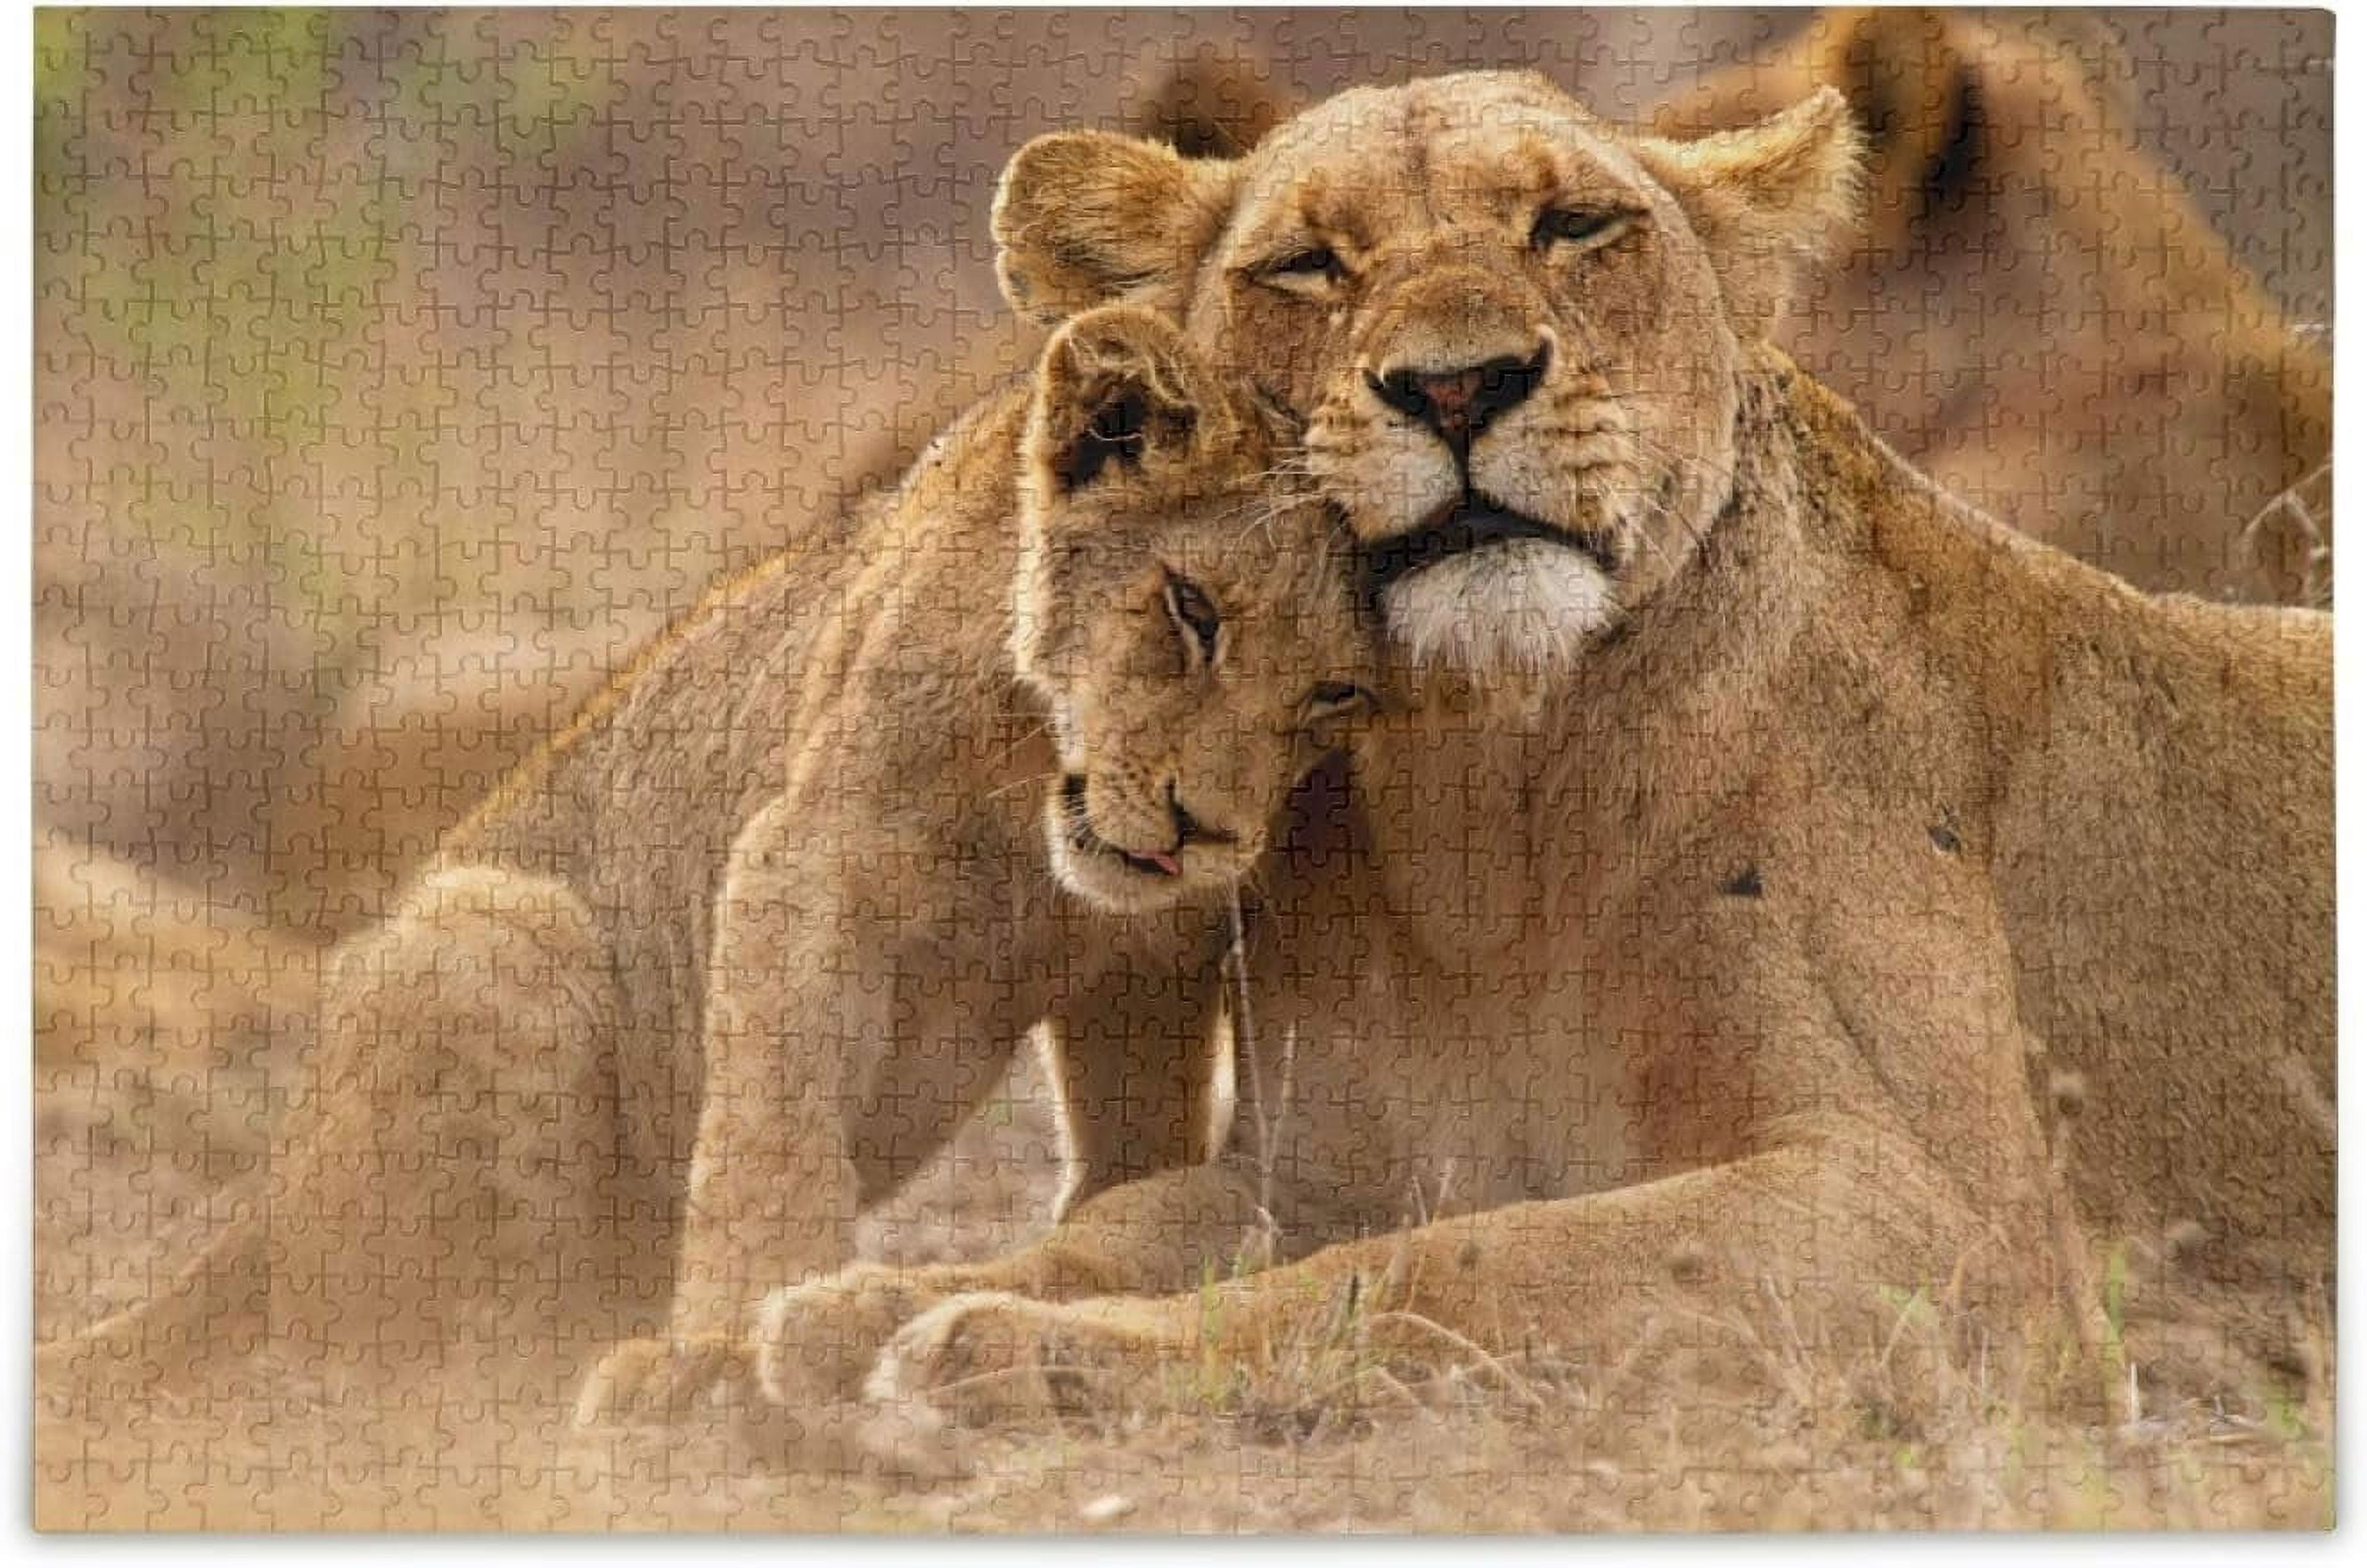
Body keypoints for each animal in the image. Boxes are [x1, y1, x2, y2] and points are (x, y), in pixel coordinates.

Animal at [38, 308, 1373, 1416]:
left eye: (1334, 695)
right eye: (1192, 610)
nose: (1206, 831)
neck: (1033, 814)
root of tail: (252, 1213)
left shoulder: (1146, 960)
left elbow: (1136, 1140)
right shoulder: (804, 865)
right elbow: (767, 1146)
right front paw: (727, 1347)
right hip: (492, 923)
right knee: (421, 1350)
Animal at [742, 73, 2330, 1438]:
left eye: (1573, 226)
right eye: (1307, 265)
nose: (1459, 387)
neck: (1484, 802)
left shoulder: (1955, 1225)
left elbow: (1464, 1265)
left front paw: (1013, 1353)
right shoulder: (1319, 1164)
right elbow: (1117, 1226)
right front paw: (863, 1303)